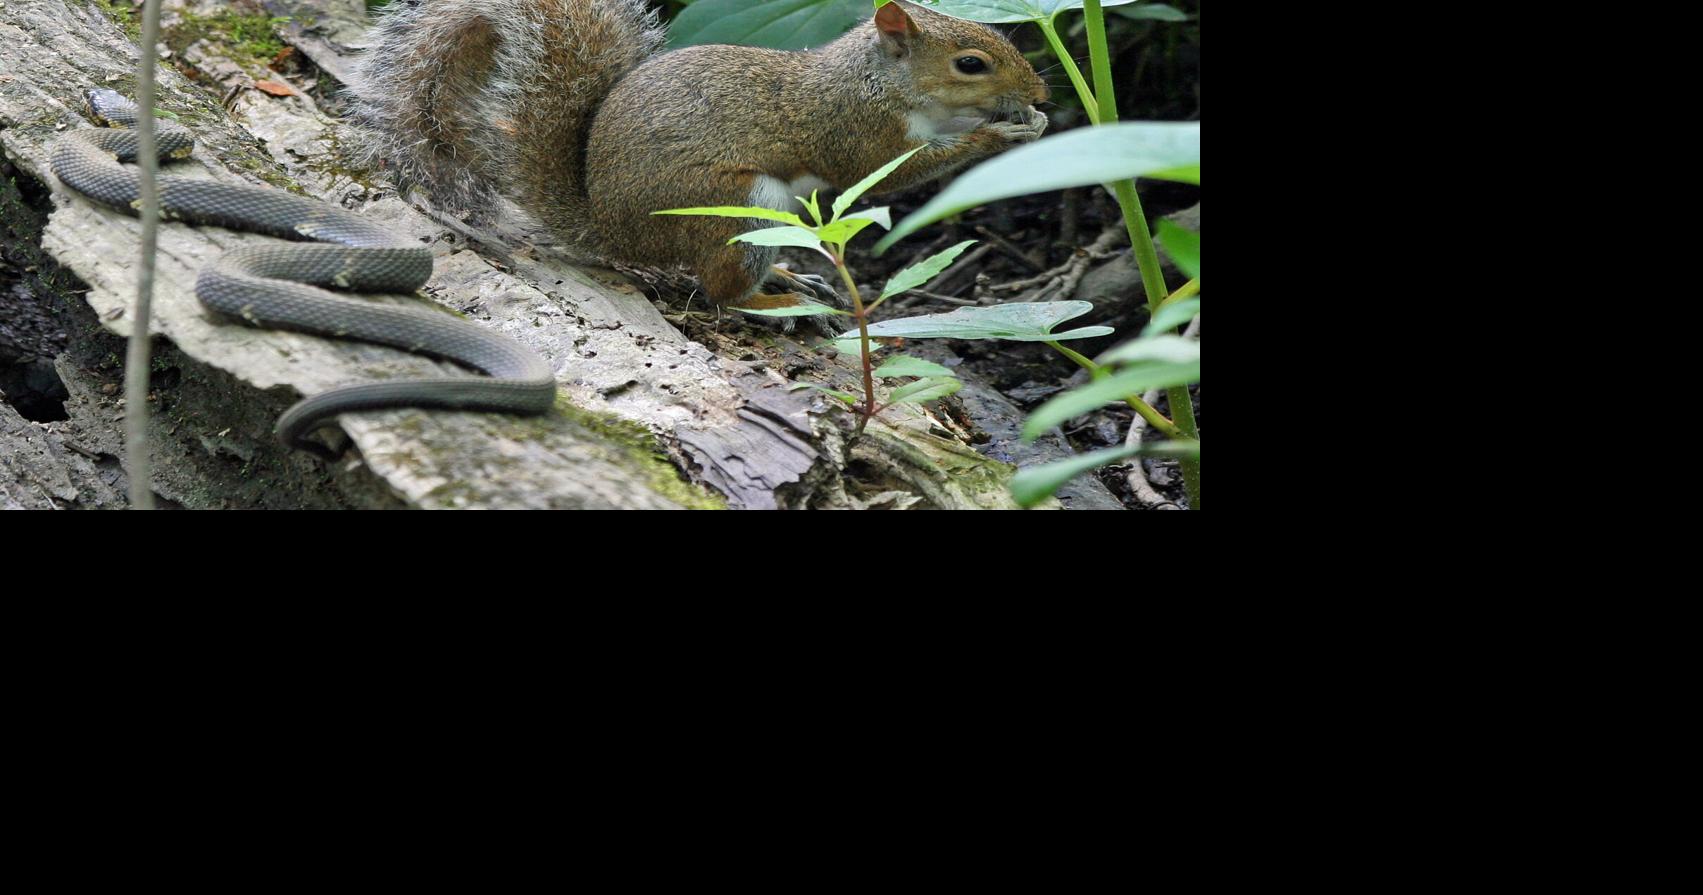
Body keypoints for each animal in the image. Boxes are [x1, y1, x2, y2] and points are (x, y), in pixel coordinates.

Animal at [348, 0, 1049, 316]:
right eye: (970, 63)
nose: (1043, 94)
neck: (877, 80)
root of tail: (614, 230)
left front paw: (1032, 123)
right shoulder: (855, 133)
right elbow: (895, 172)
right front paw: (999, 138)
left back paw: (791, 278)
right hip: (741, 205)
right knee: (719, 291)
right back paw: (774, 304)